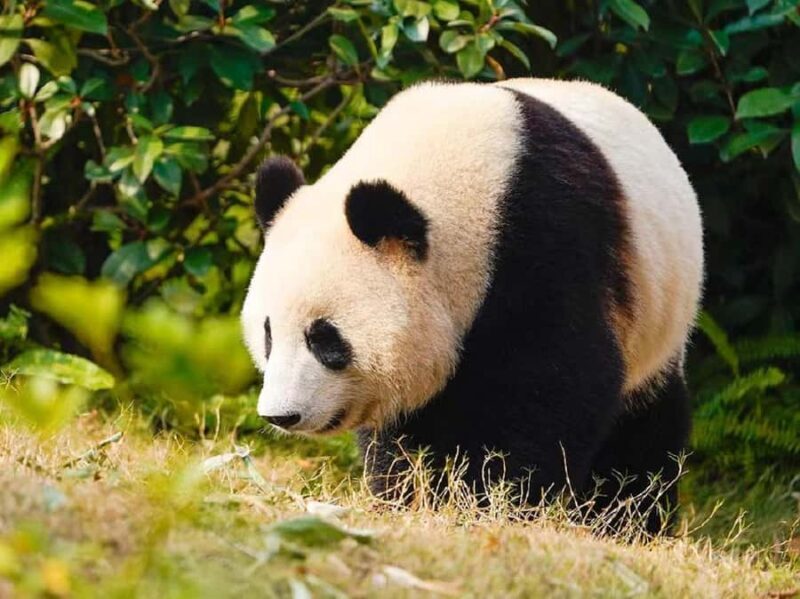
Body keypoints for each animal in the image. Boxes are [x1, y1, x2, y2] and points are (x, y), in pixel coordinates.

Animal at [241, 78, 704, 533]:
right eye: (268, 334)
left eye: (325, 338)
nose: (281, 415)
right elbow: (405, 426)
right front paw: (410, 495)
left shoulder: (546, 245)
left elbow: (556, 382)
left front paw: (494, 501)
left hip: (656, 317)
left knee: (644, 424)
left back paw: (628, 519)